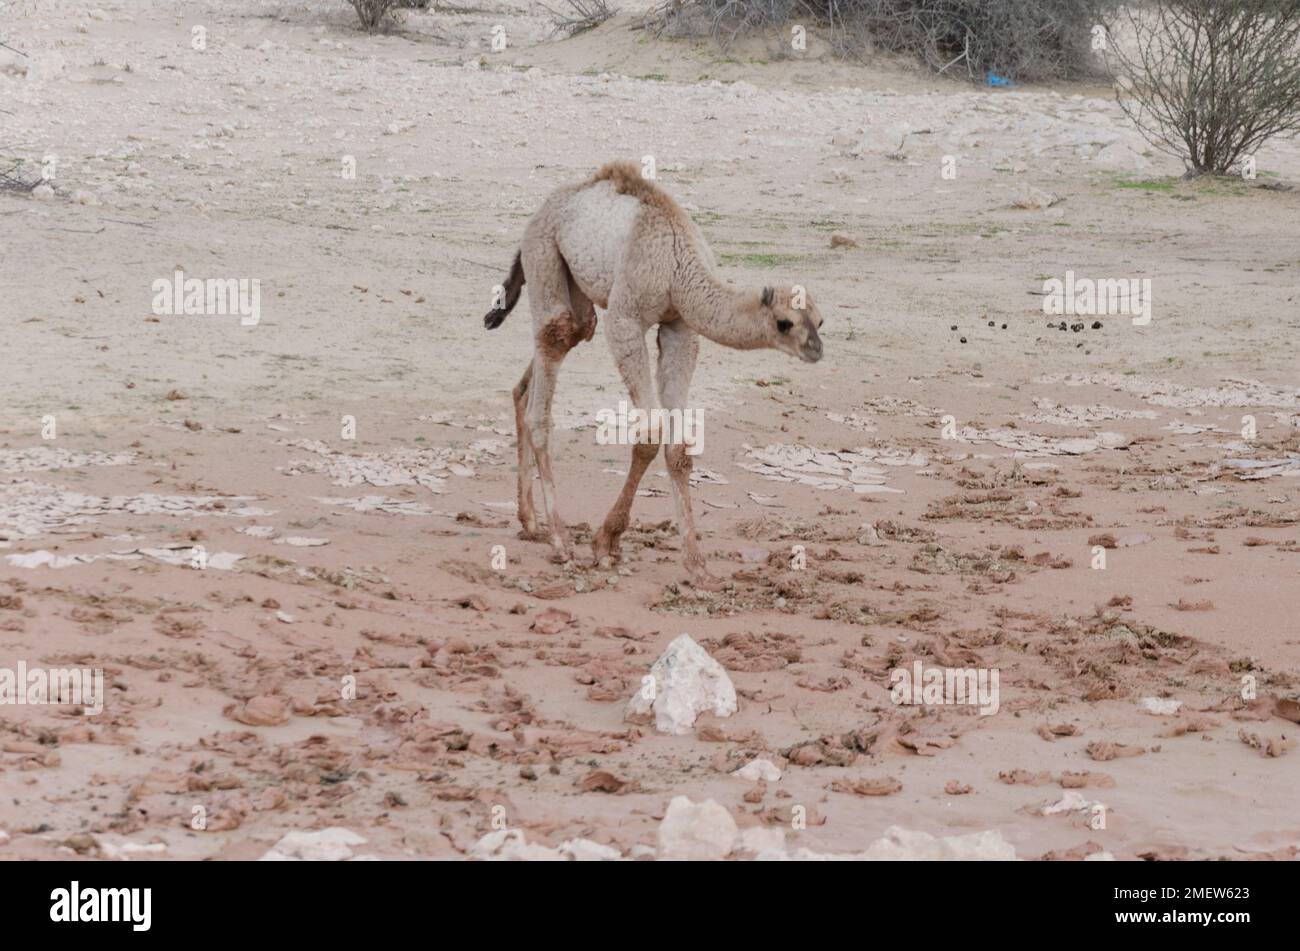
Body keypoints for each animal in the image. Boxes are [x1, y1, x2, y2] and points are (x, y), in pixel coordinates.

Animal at [483, 161, 824, 585]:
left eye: (821, 322)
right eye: (784, 323)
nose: (816, 349)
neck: (679, 269)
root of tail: (545, 207)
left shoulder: (681, 328)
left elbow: (678, 450)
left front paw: (696, 563)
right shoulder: (627, 319)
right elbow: (649, 435)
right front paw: (605, 544)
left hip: (577, 287)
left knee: (554, 351)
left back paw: (529, 521)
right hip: (543, 254)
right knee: (547, 370)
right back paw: (560, 541)